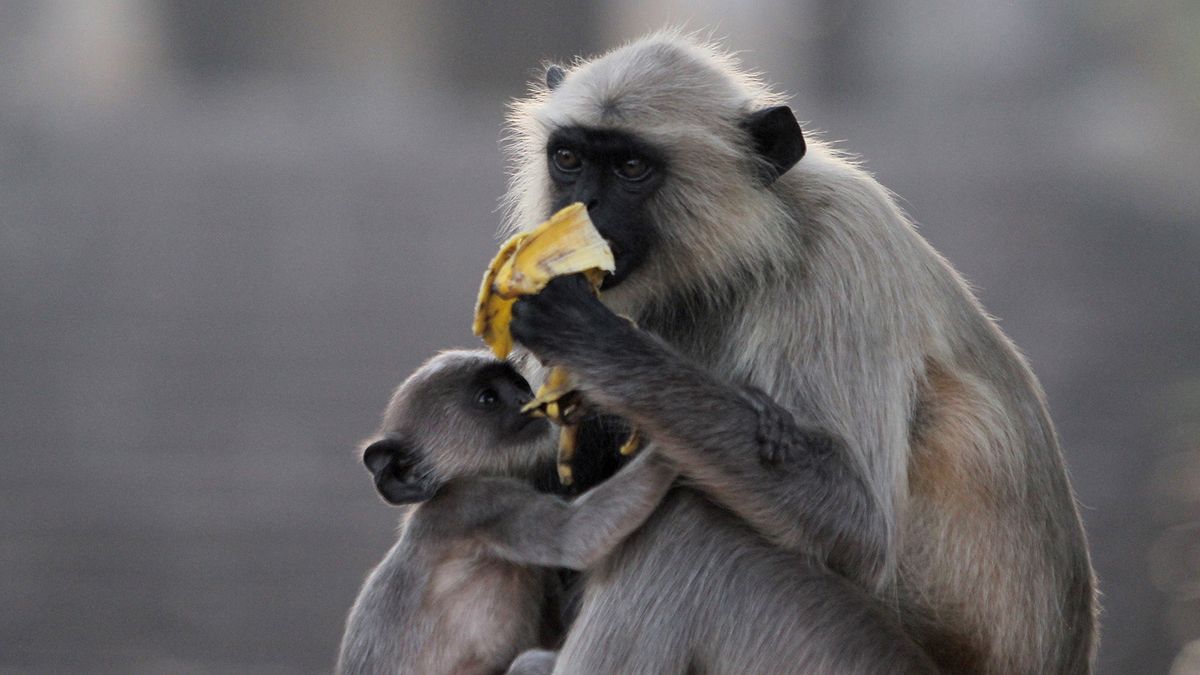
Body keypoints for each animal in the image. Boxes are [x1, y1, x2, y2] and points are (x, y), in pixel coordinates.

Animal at [335, 350, 676, 675]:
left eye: (520, 385)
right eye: (488, 398)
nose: (526, 400)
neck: (444, 489)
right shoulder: (478, 502)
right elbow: (574, 538)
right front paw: (668, 445)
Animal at [501, 33, 1097, 673]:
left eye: (631, 168)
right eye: (569, 160)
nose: (580, 208)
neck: (741, 252)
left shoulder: (844, 246)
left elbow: (857, 516)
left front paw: (588, 335)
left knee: (691, 531)